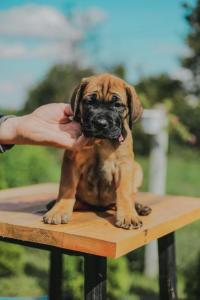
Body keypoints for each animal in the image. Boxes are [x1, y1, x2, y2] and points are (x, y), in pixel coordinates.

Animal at [43, 74, 151, 229]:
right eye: (90, 102)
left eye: (117, 105)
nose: (101, 123)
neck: (100, 141)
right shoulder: (71, 161)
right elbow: (66, 188)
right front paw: (59, 210)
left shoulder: (124, 165)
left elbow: (124, 192)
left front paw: (128, 215)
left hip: (137, 169)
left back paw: (138, 207)